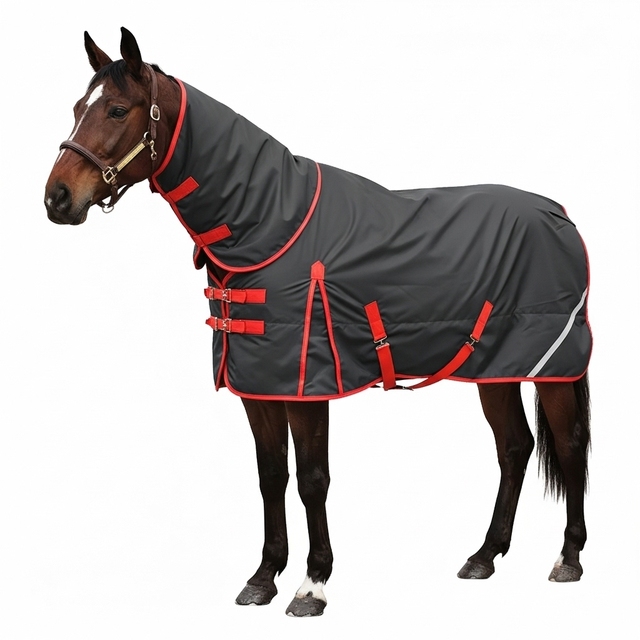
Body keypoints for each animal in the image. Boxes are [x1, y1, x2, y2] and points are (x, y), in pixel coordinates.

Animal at [44, 28, 592, 617]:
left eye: (117, 109)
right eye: (77, 108)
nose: (56, 198)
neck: (269, 224)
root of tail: (559, 214)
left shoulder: (307, 385)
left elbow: (311, 479)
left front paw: (313, 584)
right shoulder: (259, 385)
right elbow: (270, 476)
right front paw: (263, 577)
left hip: (551, 367)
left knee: (568, 446)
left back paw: (569, 558)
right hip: (495, 369)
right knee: (514, 447)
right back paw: (484, 555)